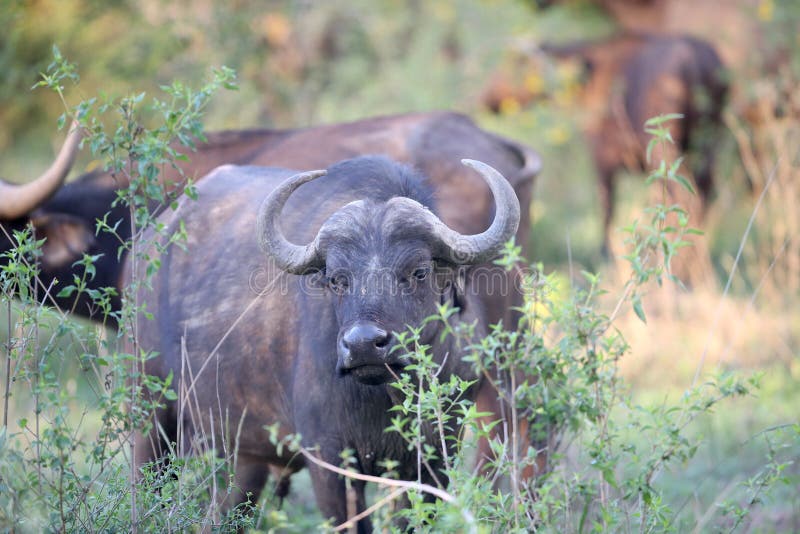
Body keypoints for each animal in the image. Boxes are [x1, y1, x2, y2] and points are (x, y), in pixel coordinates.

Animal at [129, 156, 520, 530]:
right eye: (336, 279)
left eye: (419, 271)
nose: (363, 345)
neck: (385, 397)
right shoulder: (329, 459)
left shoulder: (434, 458)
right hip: (151, 413)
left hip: (244, 454)